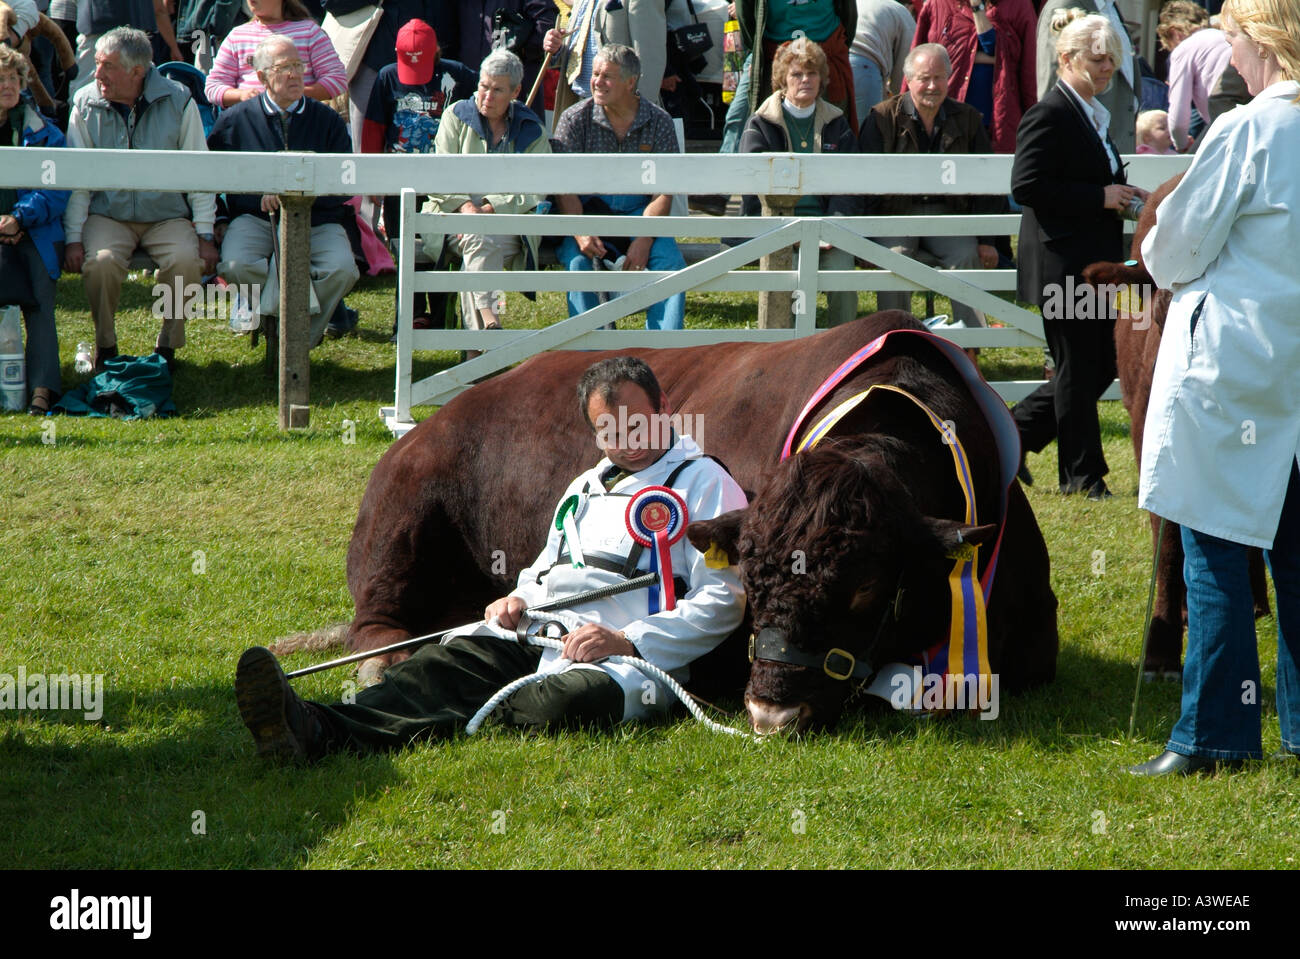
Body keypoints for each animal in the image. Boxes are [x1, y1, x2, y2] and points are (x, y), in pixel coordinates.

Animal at [281, 312, 1058, 733]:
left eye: (867, 590)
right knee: (377, 621)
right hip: (402, 513)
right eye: (751, 578)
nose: (771, 713)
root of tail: (429, 421)